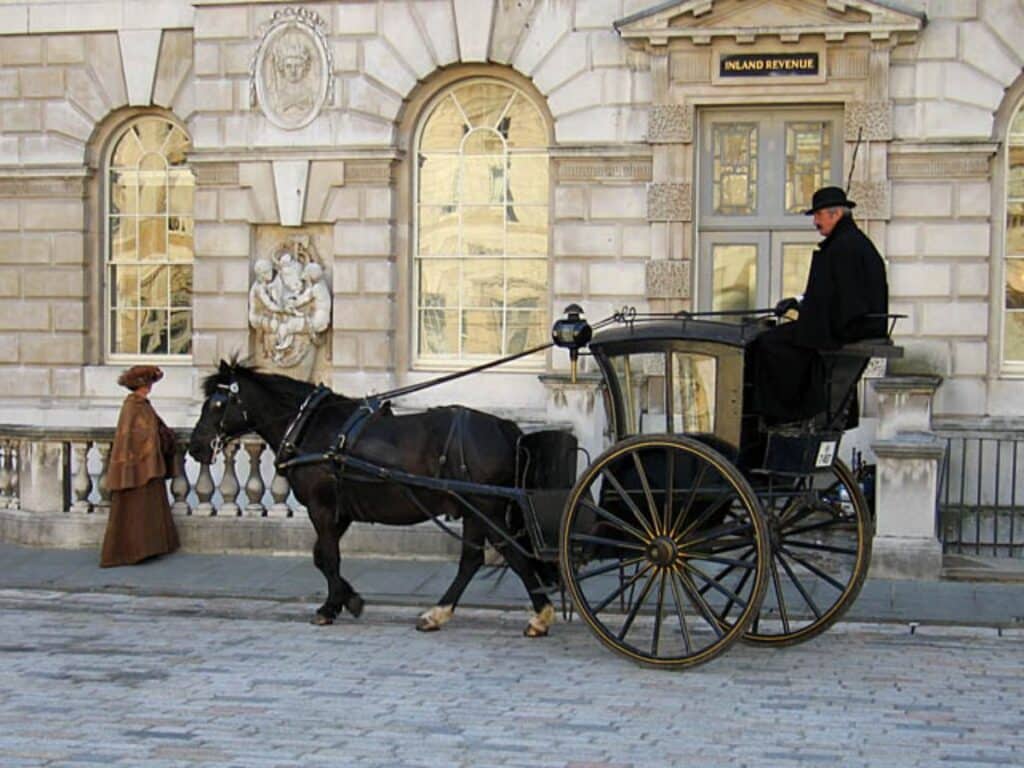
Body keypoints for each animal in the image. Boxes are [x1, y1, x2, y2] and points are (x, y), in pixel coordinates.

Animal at [187, 360, 557, 637]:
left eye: (217, 404)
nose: (195, 447)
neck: (311, 426)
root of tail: (507, 429)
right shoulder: (340, 511)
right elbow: (321, 557)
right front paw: (347, 600)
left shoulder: (322, 508)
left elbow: (329, 558)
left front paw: (332, 606)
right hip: (473, 510)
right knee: (472, 561)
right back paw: (438, 613)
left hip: (485, 509)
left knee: (512, 555)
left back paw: (540, 616)